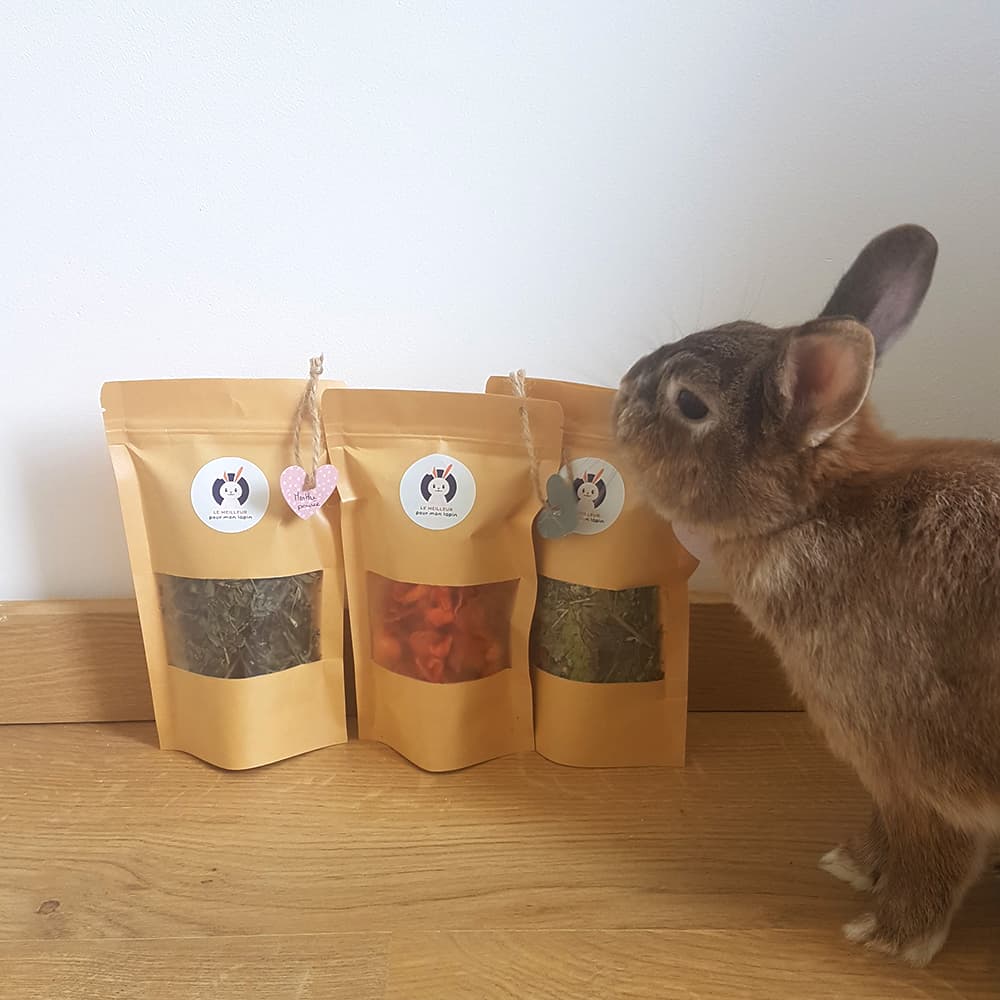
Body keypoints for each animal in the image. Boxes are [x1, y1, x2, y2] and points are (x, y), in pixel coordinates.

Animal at [613, 224, 1000, 967]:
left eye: (690, 404)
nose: (618, 396)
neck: (811, 511)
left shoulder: (919, 772)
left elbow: (934, 850)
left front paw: (892, 936)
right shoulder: (884, 778)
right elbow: (887, 828)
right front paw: (854, 864)